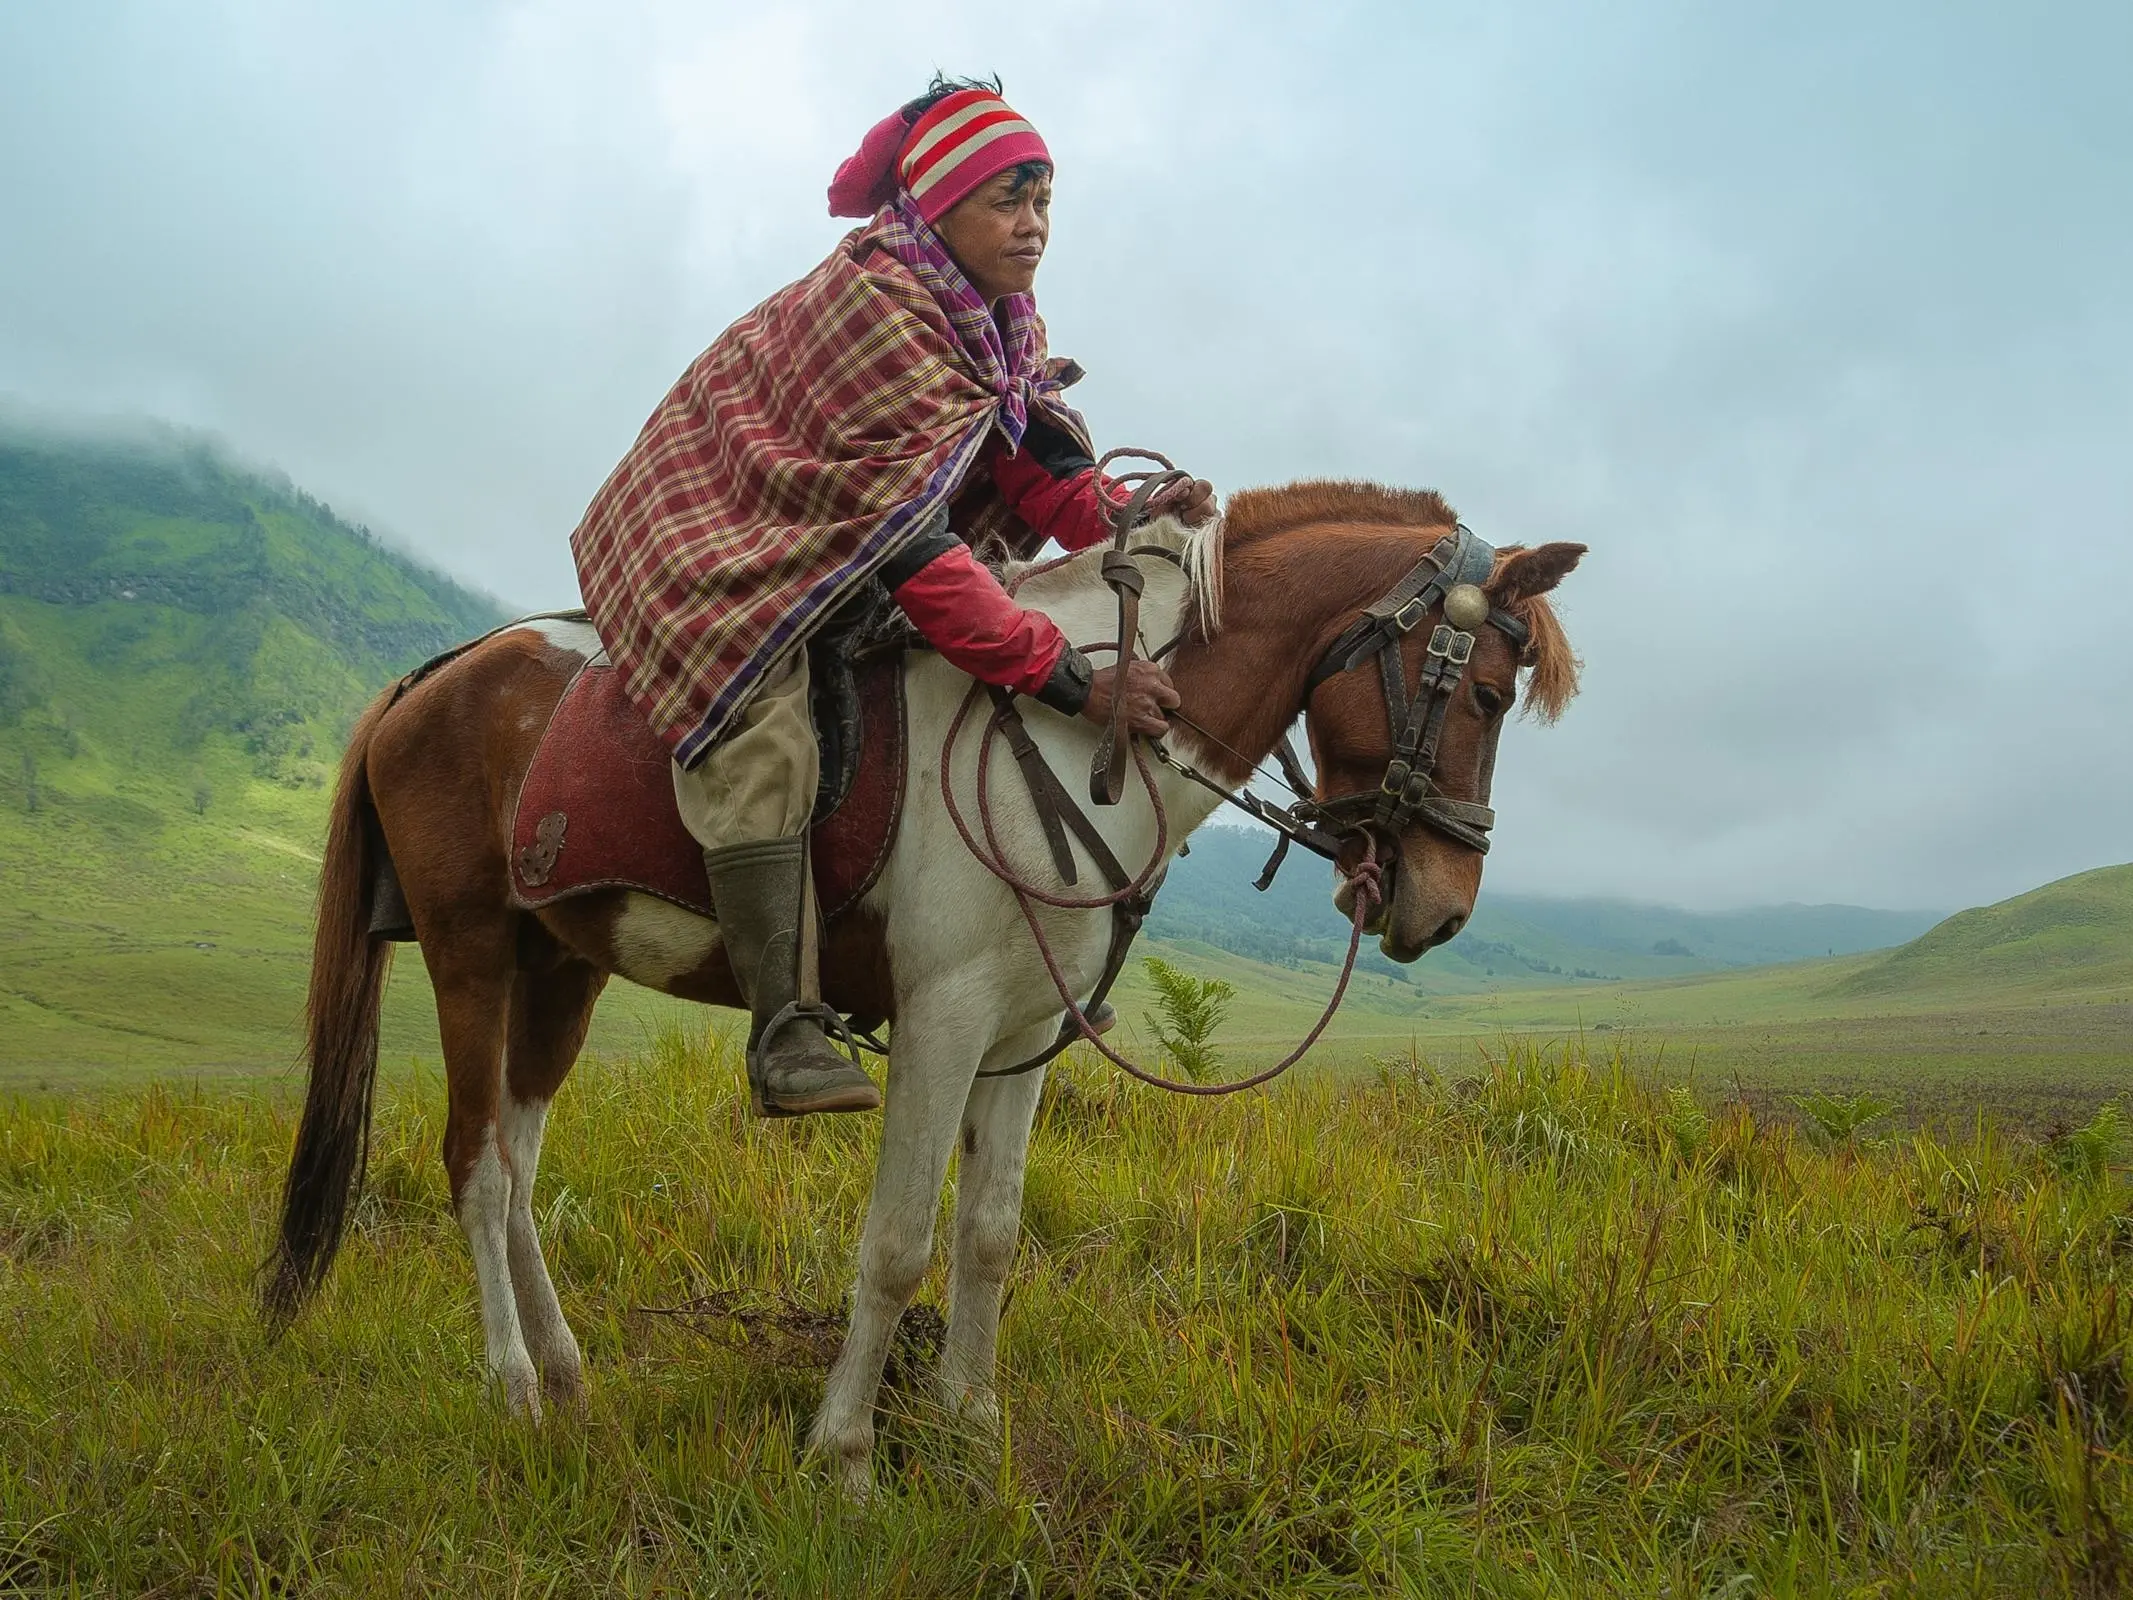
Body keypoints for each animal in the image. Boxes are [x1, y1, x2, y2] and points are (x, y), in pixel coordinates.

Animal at [263, 480, 1583, 1495]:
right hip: (472, 951)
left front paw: (970, 1434)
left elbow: (989, 1236)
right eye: (1482, 692)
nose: (1442, 907)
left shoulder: (1025, 1032)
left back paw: (570, 1373)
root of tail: (428, 681)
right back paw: (515, 1389)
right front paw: (844, 1458)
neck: (1077, 740)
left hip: (561, 968)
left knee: (523, 1165)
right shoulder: (944, 1021)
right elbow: (898, 1243)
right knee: (479, 1167)